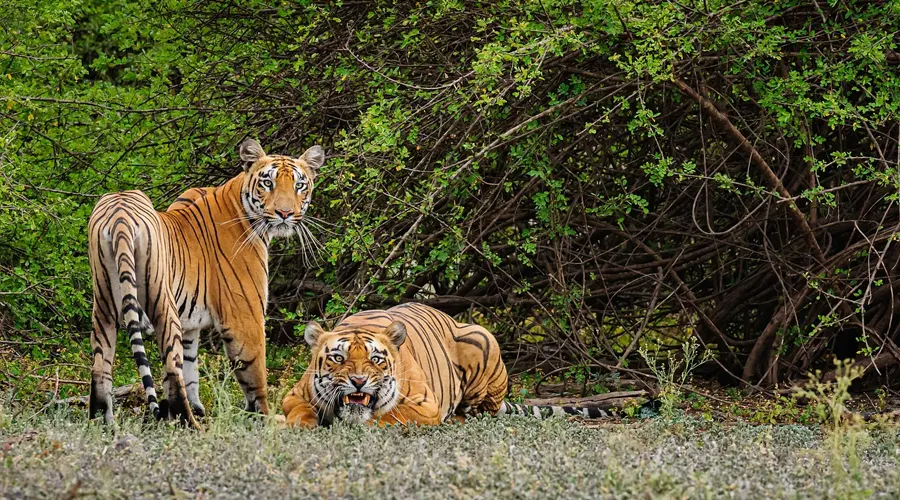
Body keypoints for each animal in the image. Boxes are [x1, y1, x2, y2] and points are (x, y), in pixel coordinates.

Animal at [88, 138, 324, 427]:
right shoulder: (245, 316)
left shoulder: (191, 325)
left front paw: (199, 407)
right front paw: (264, 418)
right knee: (171, 370)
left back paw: (103, 423)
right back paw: (190, 424)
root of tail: (119, 214)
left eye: (299, 185)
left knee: (101, 367)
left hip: (103, 305)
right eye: (268, 182)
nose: (285, 213)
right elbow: (254, 372)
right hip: (162, 304)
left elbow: (191, 368)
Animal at [281, 303, 626, 427]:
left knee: (482, 410)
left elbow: (388, 417)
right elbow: (300, 412)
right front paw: (300, 424)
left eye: (375, 360)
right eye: (338, 358)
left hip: (482, 338)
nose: (357, 382)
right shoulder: (293, 396)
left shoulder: (424, 406)